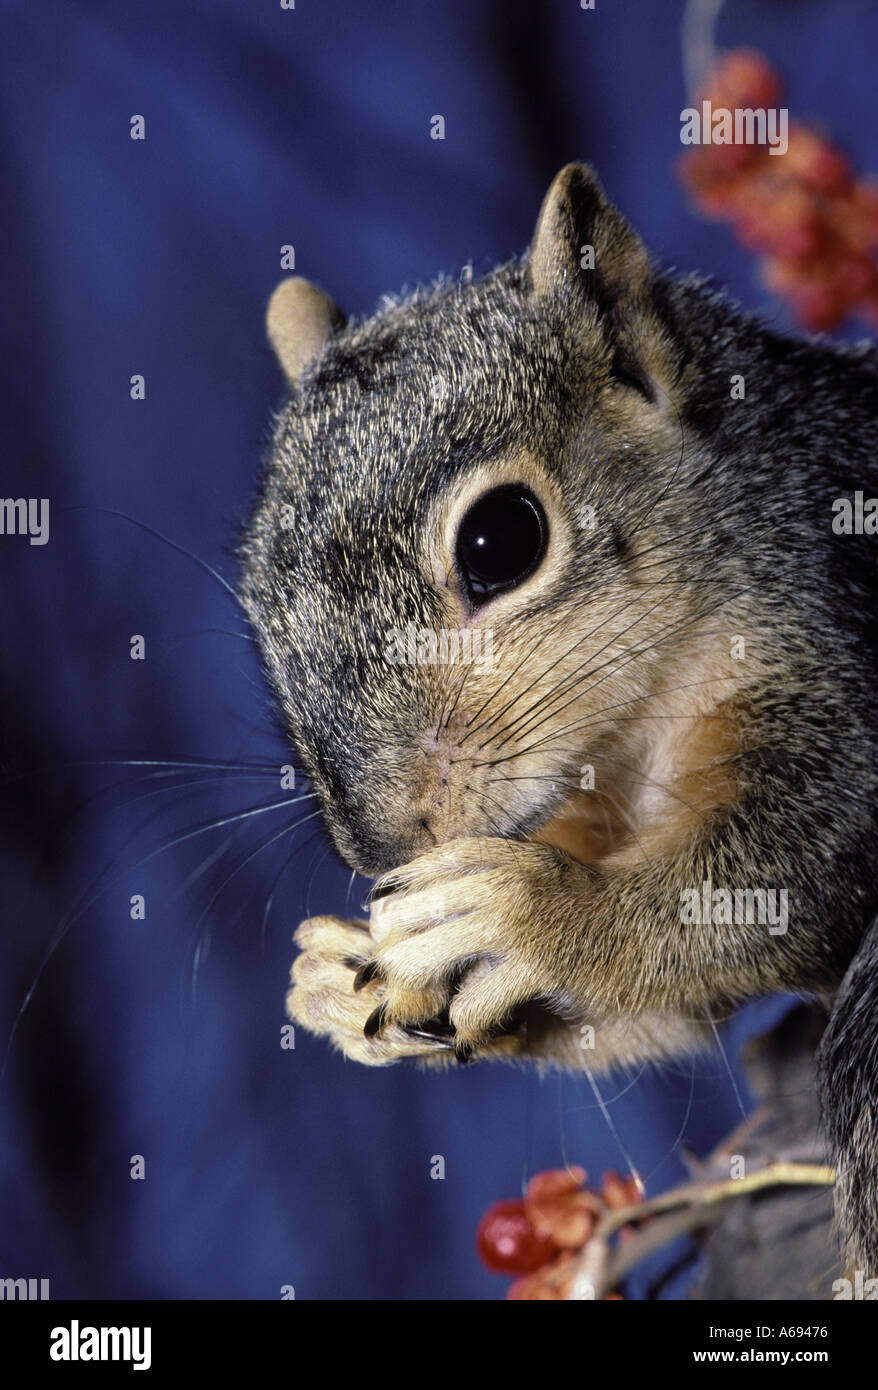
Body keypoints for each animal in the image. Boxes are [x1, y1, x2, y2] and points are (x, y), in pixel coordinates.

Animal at [240, 164, 878, 1280]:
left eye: (502, 539)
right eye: (254, 606)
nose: (380, 846)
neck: (634, 727)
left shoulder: (836, 630)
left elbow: (786, 872)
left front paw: (519, 912)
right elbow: (660, 1001)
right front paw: (336, 978)